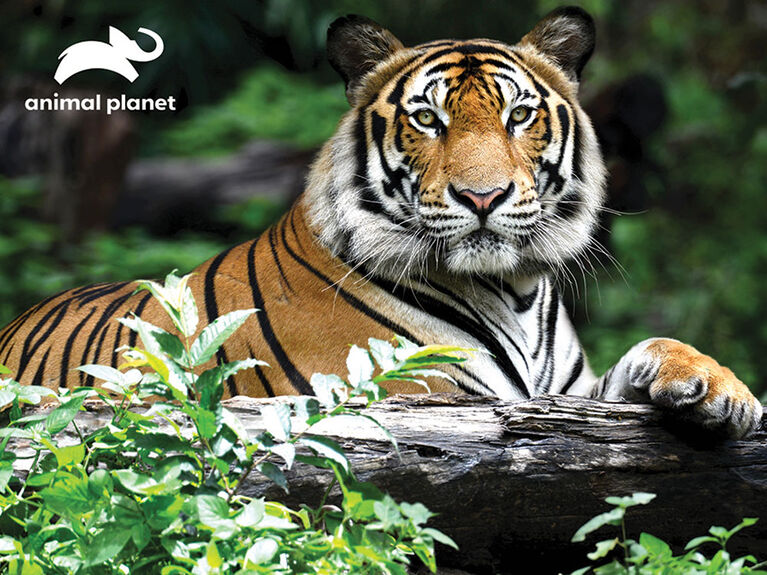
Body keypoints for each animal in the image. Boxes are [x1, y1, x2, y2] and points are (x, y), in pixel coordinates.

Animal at [0, 7, 761, 438]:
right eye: (427, 118)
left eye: (519, 115)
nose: (482, 196)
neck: (515, 290)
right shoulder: (423, 398)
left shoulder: (566, 398)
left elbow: (653, 349)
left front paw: (719, 388)